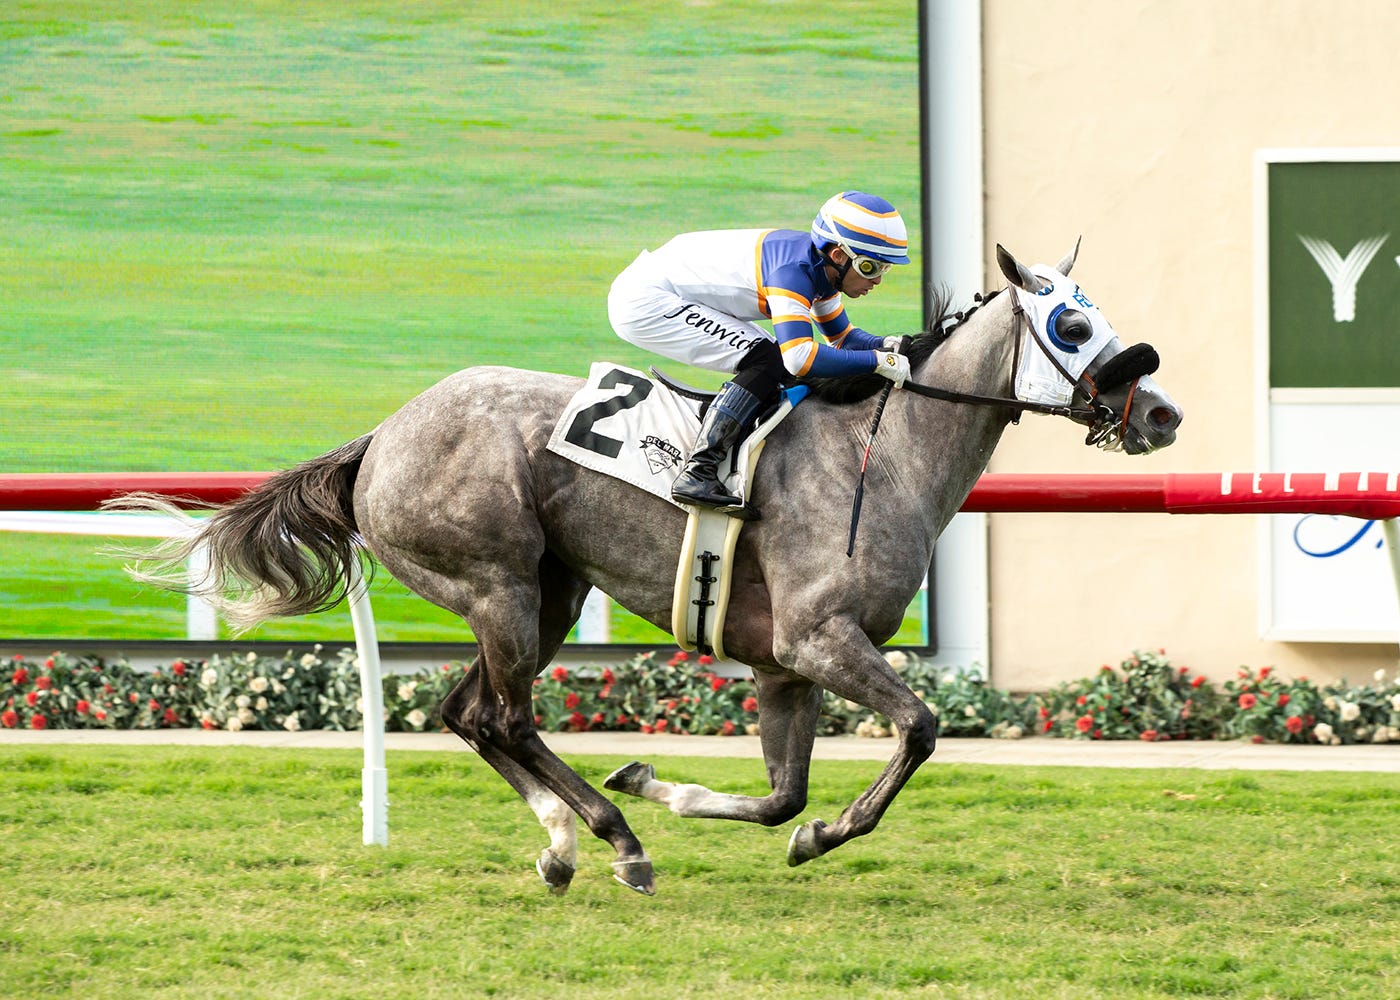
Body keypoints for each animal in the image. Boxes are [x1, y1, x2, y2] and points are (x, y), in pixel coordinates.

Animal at [118, 242, 1182, 896]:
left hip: (548, 591)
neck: (884, 453)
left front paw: (675, 789)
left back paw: (564, 841)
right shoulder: (818, 639)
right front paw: (803, 832)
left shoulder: (784, 665)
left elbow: (783, 796)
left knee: (468, 712)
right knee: (503, 717)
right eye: (1073, 327)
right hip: (499, 583)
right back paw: (613, 843)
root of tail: (380, 437)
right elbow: (918, 729)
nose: (1163, 412)